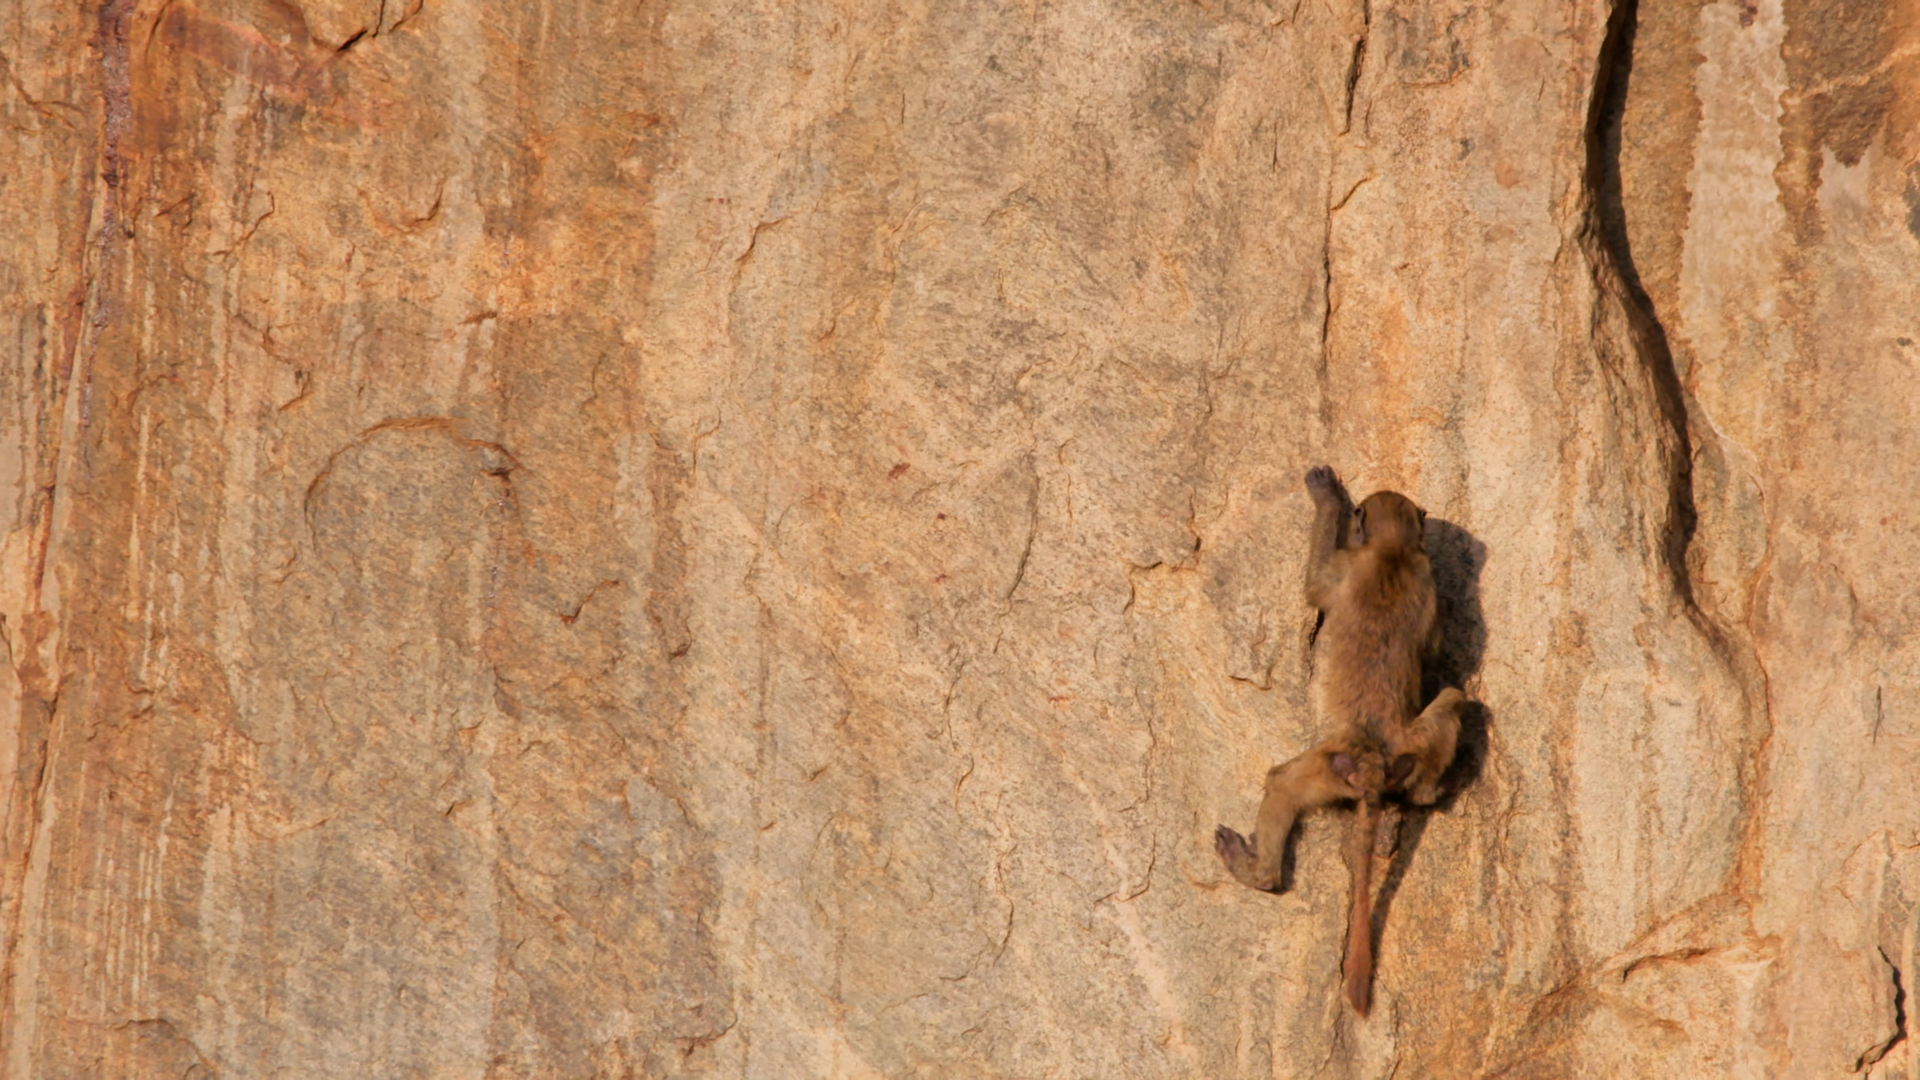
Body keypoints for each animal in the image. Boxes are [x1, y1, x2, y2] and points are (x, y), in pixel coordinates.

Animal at [1214, 464, 1466, 1016]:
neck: (1391, 552)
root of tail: (1372, 758)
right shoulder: (1425, 576)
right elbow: (1435, 645)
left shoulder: (1345, 568)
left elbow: (1313, 589)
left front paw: (1327, 498)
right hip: (1410, 745)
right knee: (1455, 698)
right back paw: (1426, 792)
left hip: (1330, 765)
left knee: (1283, 782)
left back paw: (1260, 873)